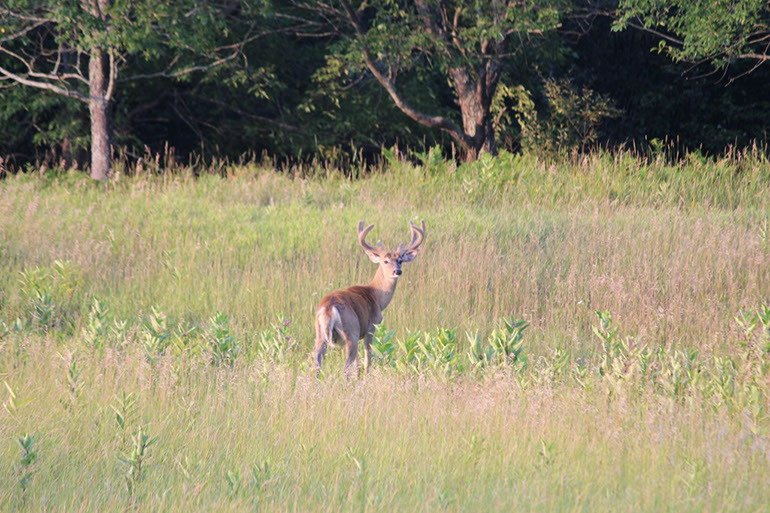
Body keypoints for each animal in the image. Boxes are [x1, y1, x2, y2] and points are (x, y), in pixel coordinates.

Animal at [313, 220, 426, 376]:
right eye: (385, 261)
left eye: (400, 260)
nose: (397, 271)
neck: (375, 295)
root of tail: (329, 307)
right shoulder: (371, 327)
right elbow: (368, 358)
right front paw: (366, 377)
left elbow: (357, 364)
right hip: (351, 331)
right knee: (346, 367)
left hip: (320, 334)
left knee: (318, 363)